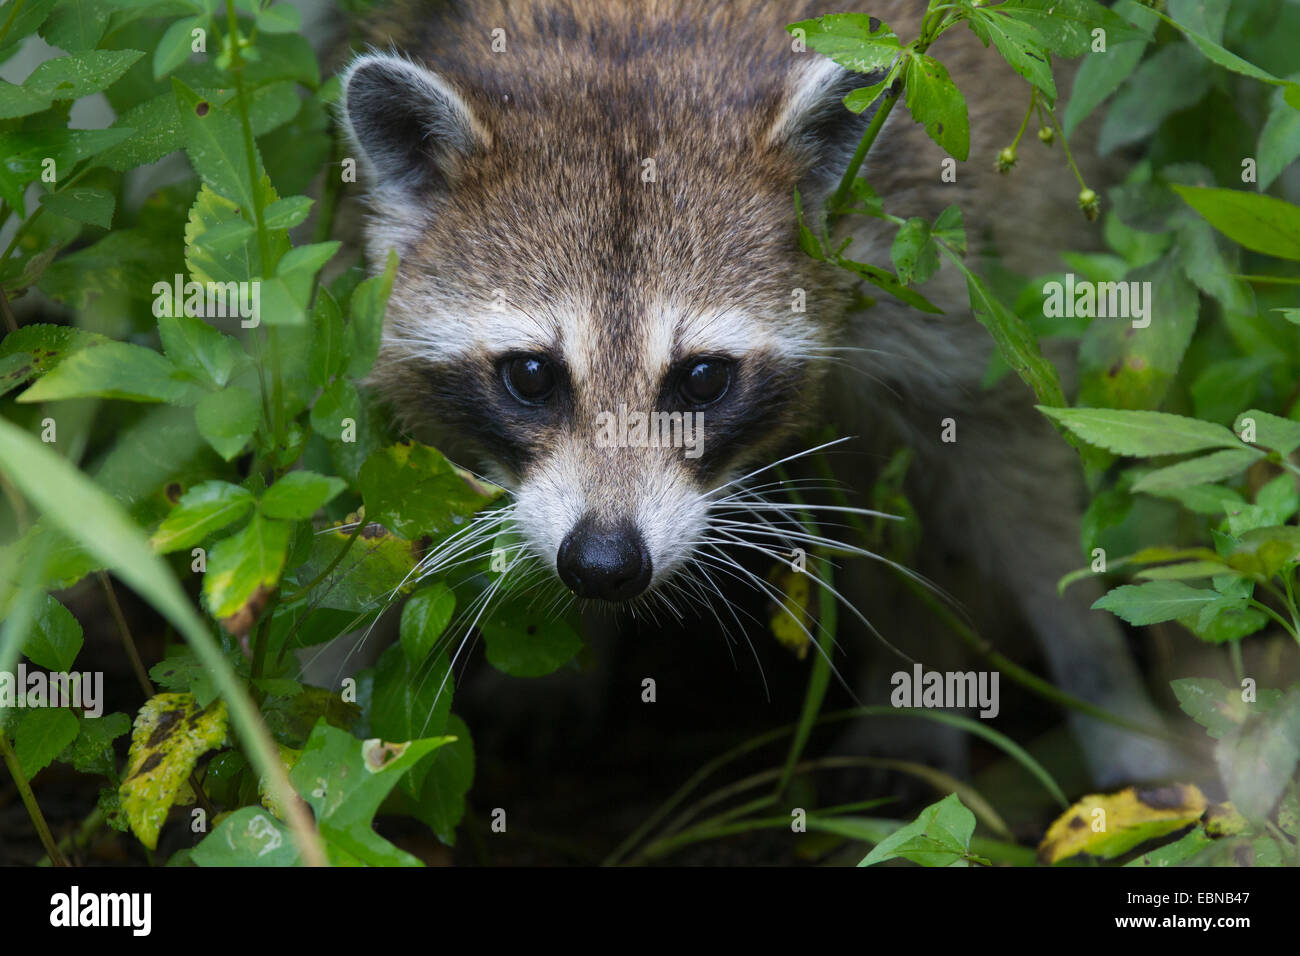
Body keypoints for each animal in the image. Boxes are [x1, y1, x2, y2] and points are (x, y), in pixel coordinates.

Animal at [338, 0, 1178, 785]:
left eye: (703, 379)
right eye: (533, 376)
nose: (604, 564)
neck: (627, 44)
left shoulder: (941, 239)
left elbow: (1010, 472)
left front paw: (1104, 687)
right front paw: (562, 648)